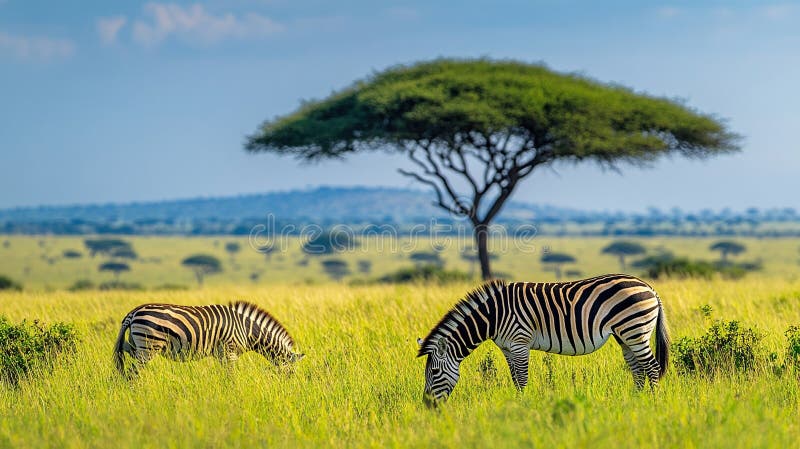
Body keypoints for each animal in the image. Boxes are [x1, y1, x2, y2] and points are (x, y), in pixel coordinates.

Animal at [113, 301, 303, 377]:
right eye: (292, 372)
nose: (292, 387)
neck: (247, 330)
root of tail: (133, 313)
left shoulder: (222, 354)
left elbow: (226, 374)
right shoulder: (230, 351)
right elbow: (231, 375)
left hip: (134, 346)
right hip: (148, 347)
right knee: (132, 373)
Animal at [417, 274, 669, 407]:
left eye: (435, 373)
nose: (428, 406)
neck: (493, 315)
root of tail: (649, 287)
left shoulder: (519, 342)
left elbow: (522, 379)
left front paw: (522, 406)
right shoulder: (507, 348)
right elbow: (514, 378)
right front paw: (518, 403)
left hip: (635, 330)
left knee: (652, 367)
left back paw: (654, 403)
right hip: (625, 336)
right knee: (637, 369)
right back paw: (636, 400)